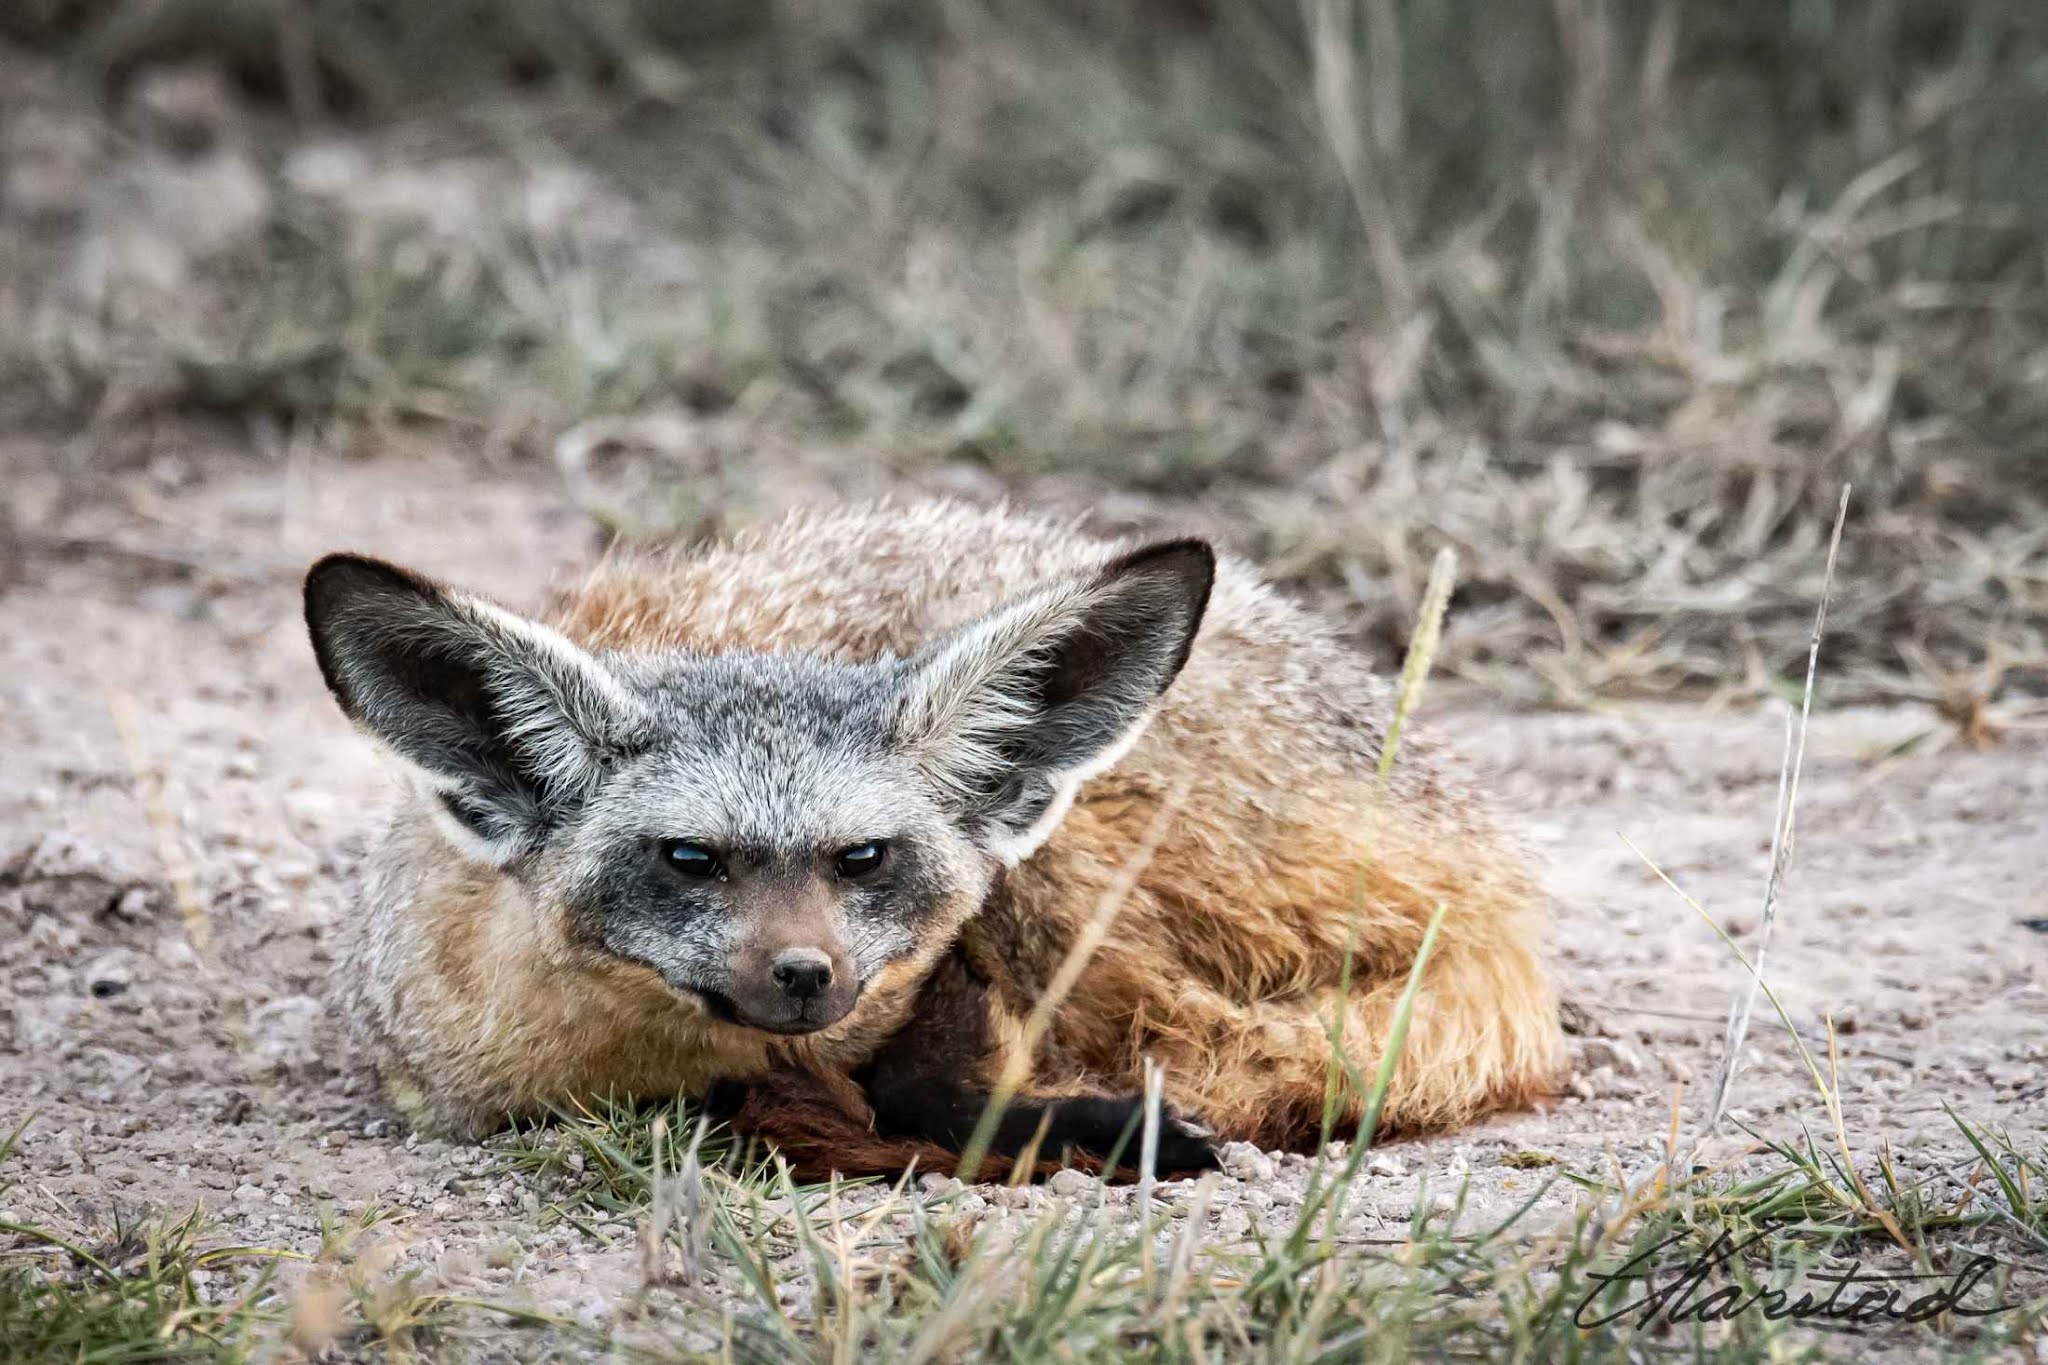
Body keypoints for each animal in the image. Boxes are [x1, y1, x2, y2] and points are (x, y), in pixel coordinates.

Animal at [304, 500, 1561, 1178]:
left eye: (861, 859)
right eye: (689, 859)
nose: (803, 974)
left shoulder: (955, 969)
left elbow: (932, 1086)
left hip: (1069, 872)